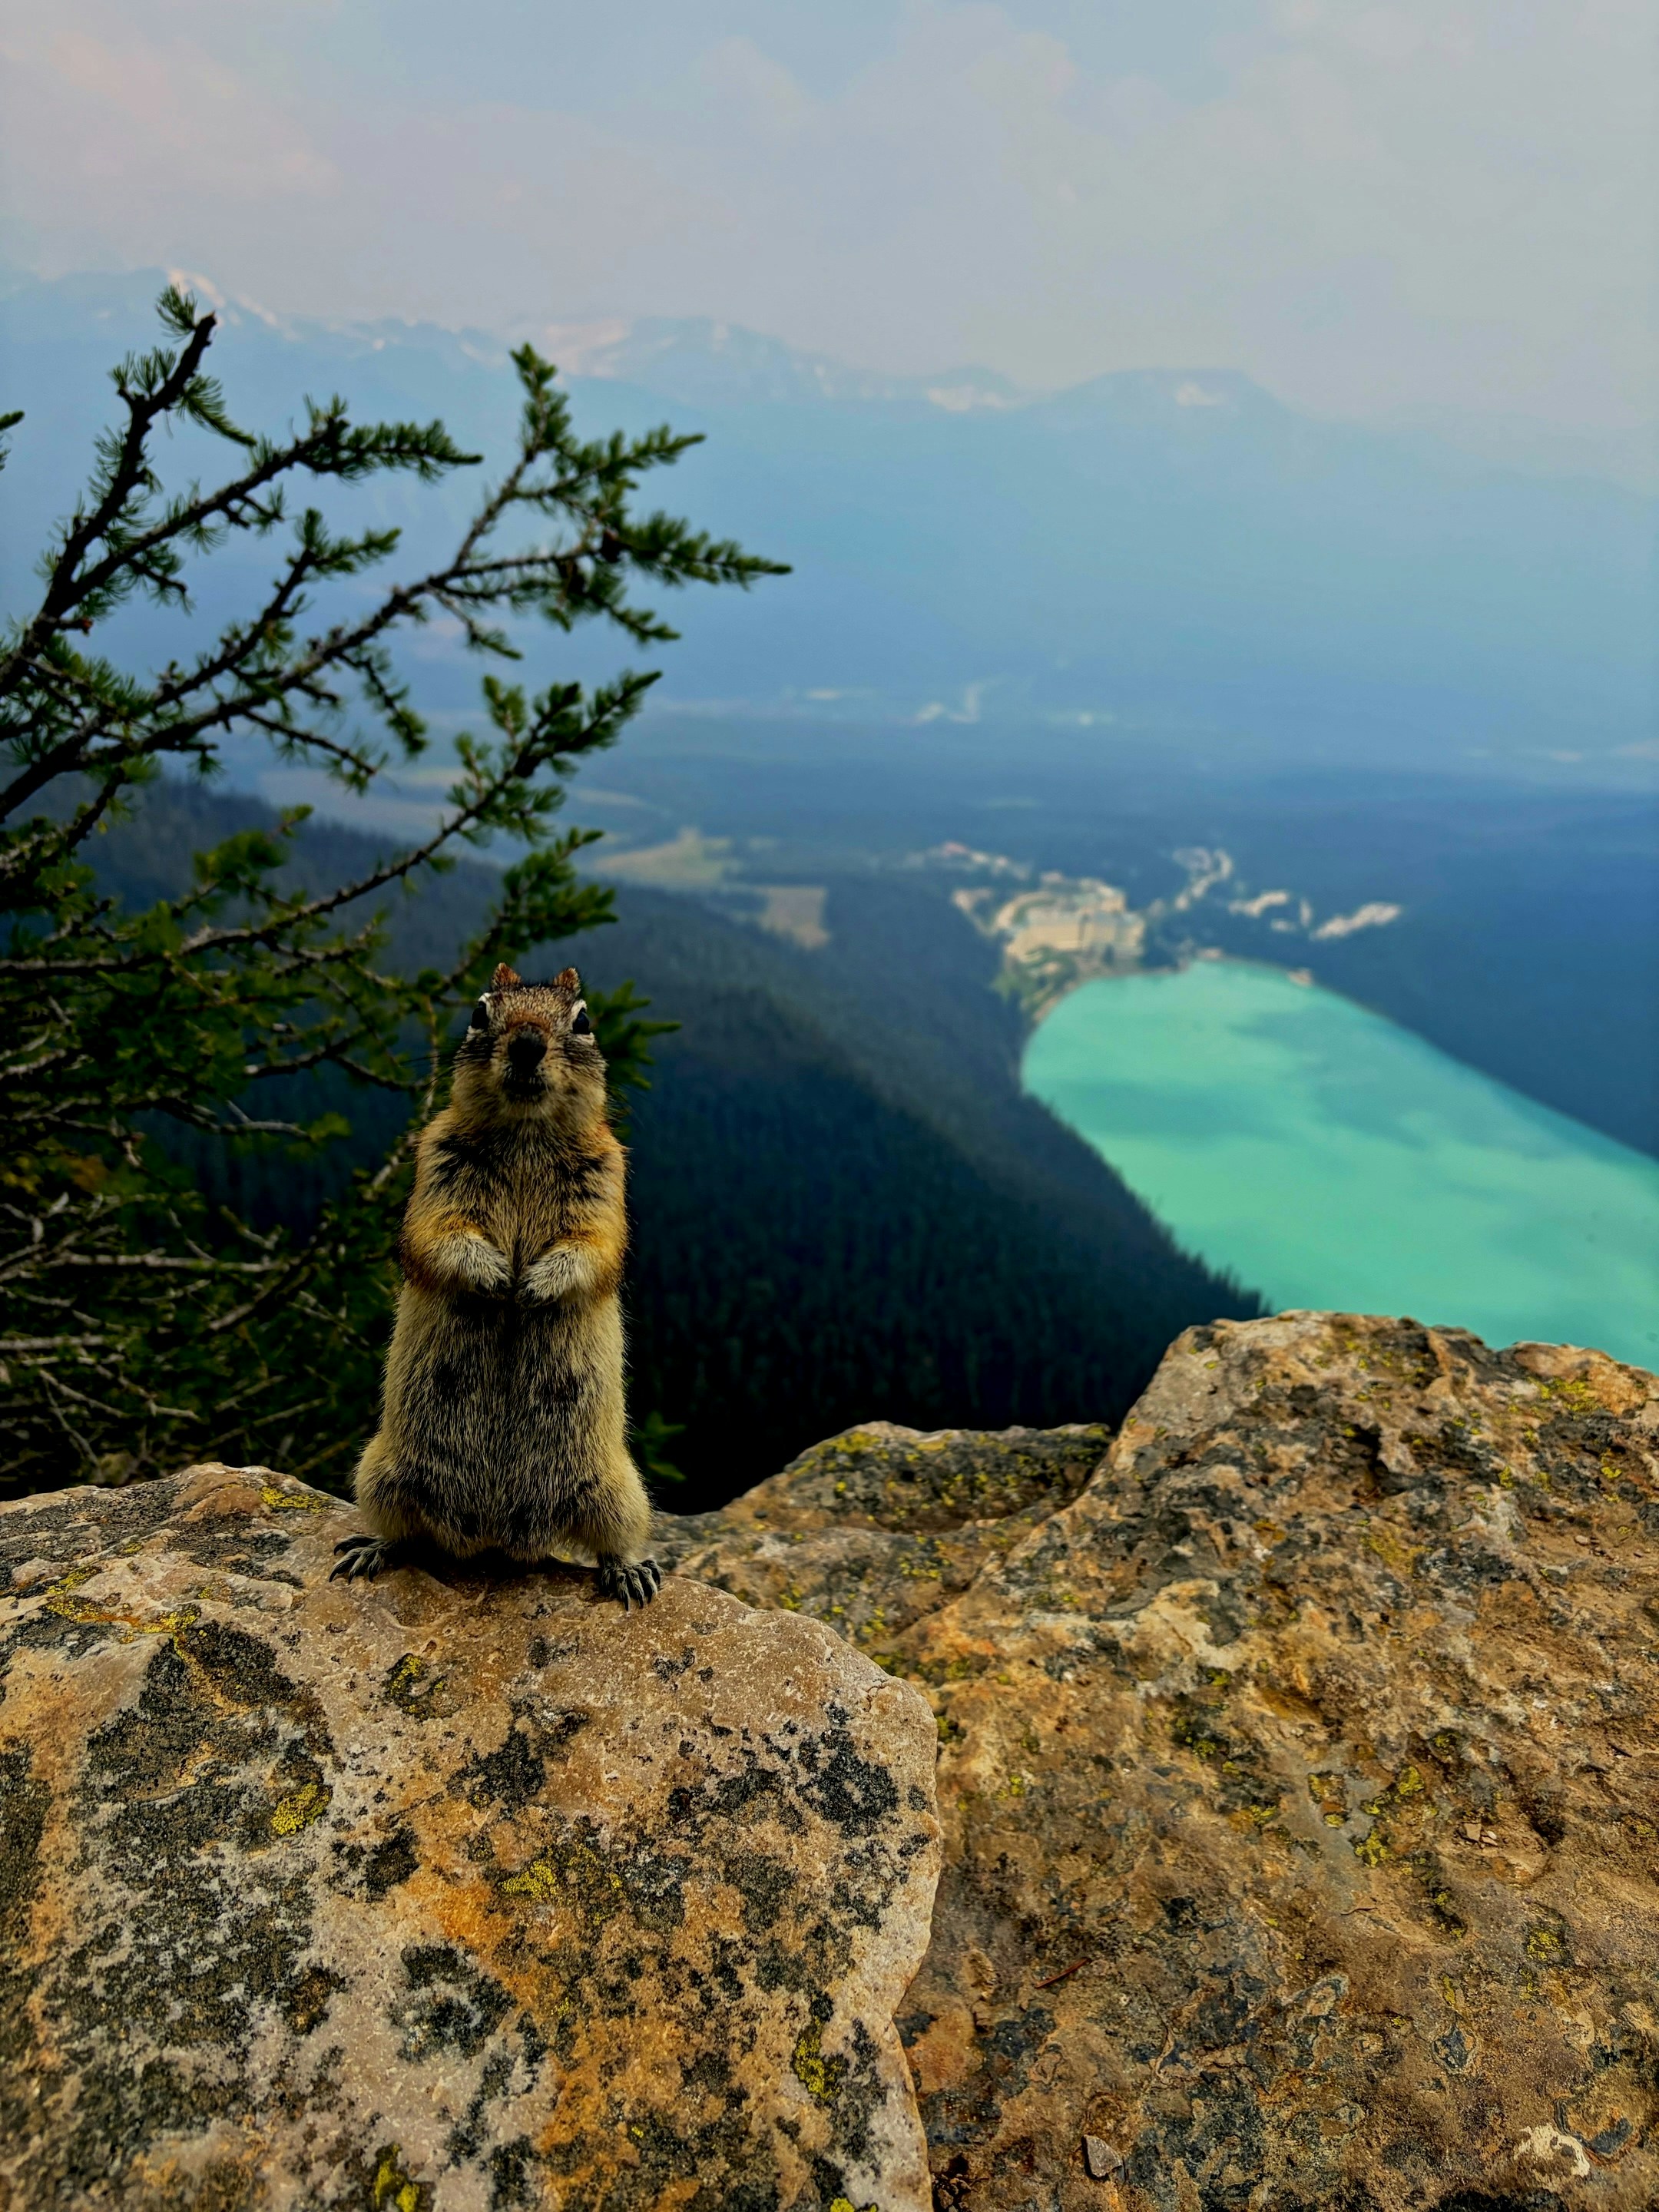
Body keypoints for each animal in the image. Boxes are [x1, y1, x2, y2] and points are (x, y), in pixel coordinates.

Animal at [331, 961, 660, 1610]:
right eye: (480, 1012)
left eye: (584, 1020)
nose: (528, 1042)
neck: (525, 1134)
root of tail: (498, 1538)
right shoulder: (434, 1170)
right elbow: (437, 1237)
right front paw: (496, 1277)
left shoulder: (607, 1184)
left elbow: (593, 1248)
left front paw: (532, 1286)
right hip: (380, 1475)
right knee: (404, 1532)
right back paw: (371, 1550)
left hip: (620, 1490)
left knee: (616, 1538)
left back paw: (630, 1572)